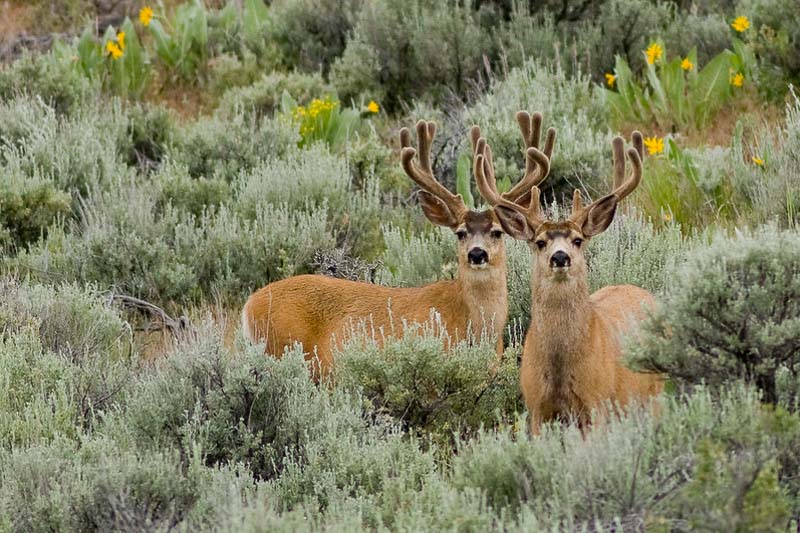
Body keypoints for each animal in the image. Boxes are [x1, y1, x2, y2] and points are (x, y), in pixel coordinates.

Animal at [473, 125, 663, 434]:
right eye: (540, 242)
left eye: (577, 240)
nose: (560, 257)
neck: (561, 368)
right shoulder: (536, 407)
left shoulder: (597, 403)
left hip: (654, 392)